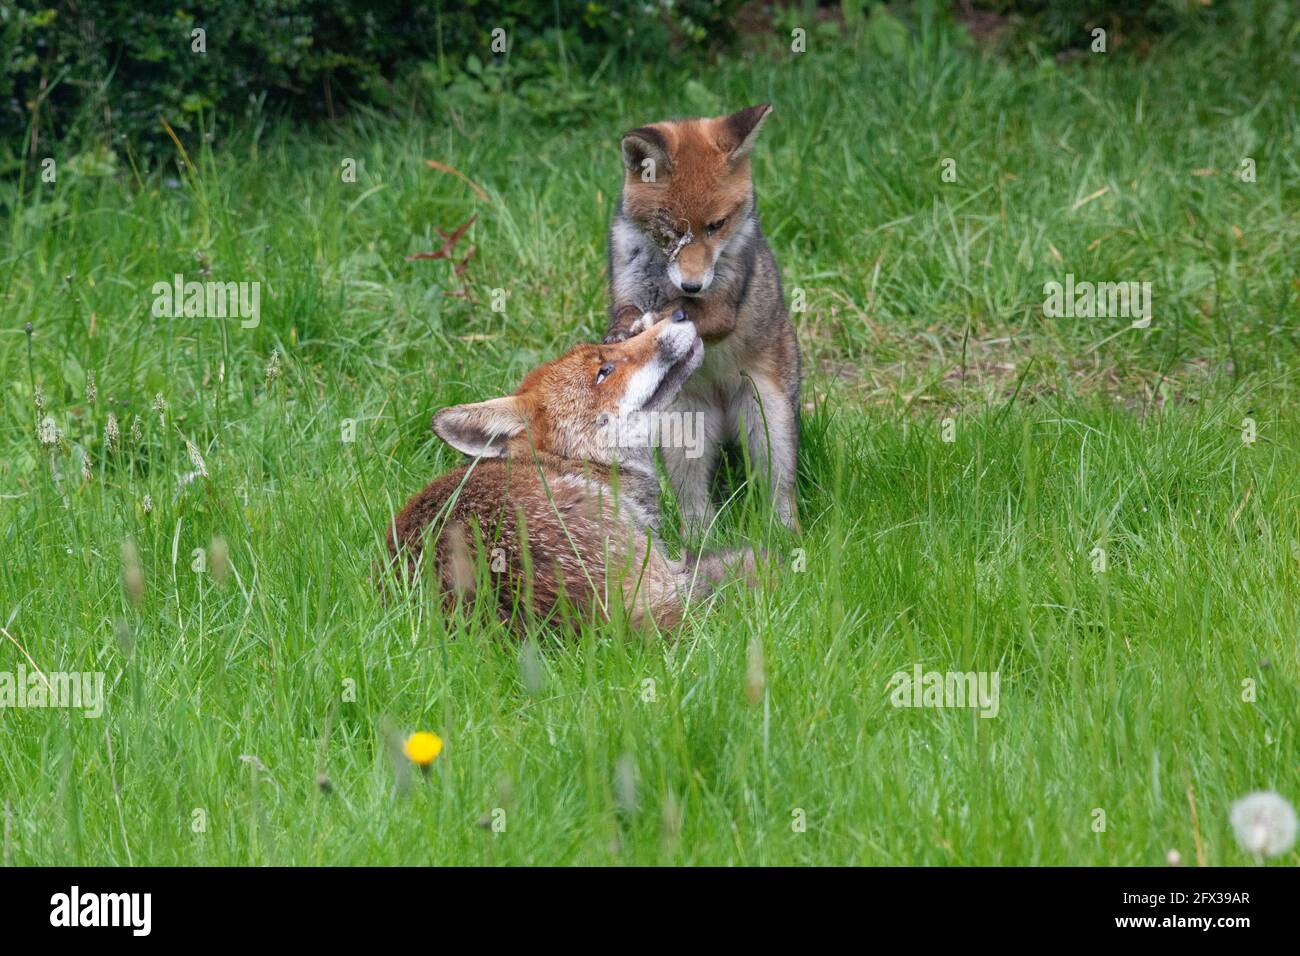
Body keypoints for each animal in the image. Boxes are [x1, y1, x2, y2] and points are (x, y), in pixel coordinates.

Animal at [604, 103, 800, 531]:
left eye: (716, 226)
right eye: (669, 230)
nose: (692, 284)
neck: (662, 278)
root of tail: (724, 410)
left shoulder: (722, 308)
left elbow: (683, 312)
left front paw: (662, 318)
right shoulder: (626, 287)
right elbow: (627, 316)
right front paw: (622, 336)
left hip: (769, 426)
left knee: (779, 490)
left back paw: (785, 534)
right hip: (684, 428)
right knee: (694, 503)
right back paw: (699, 538)